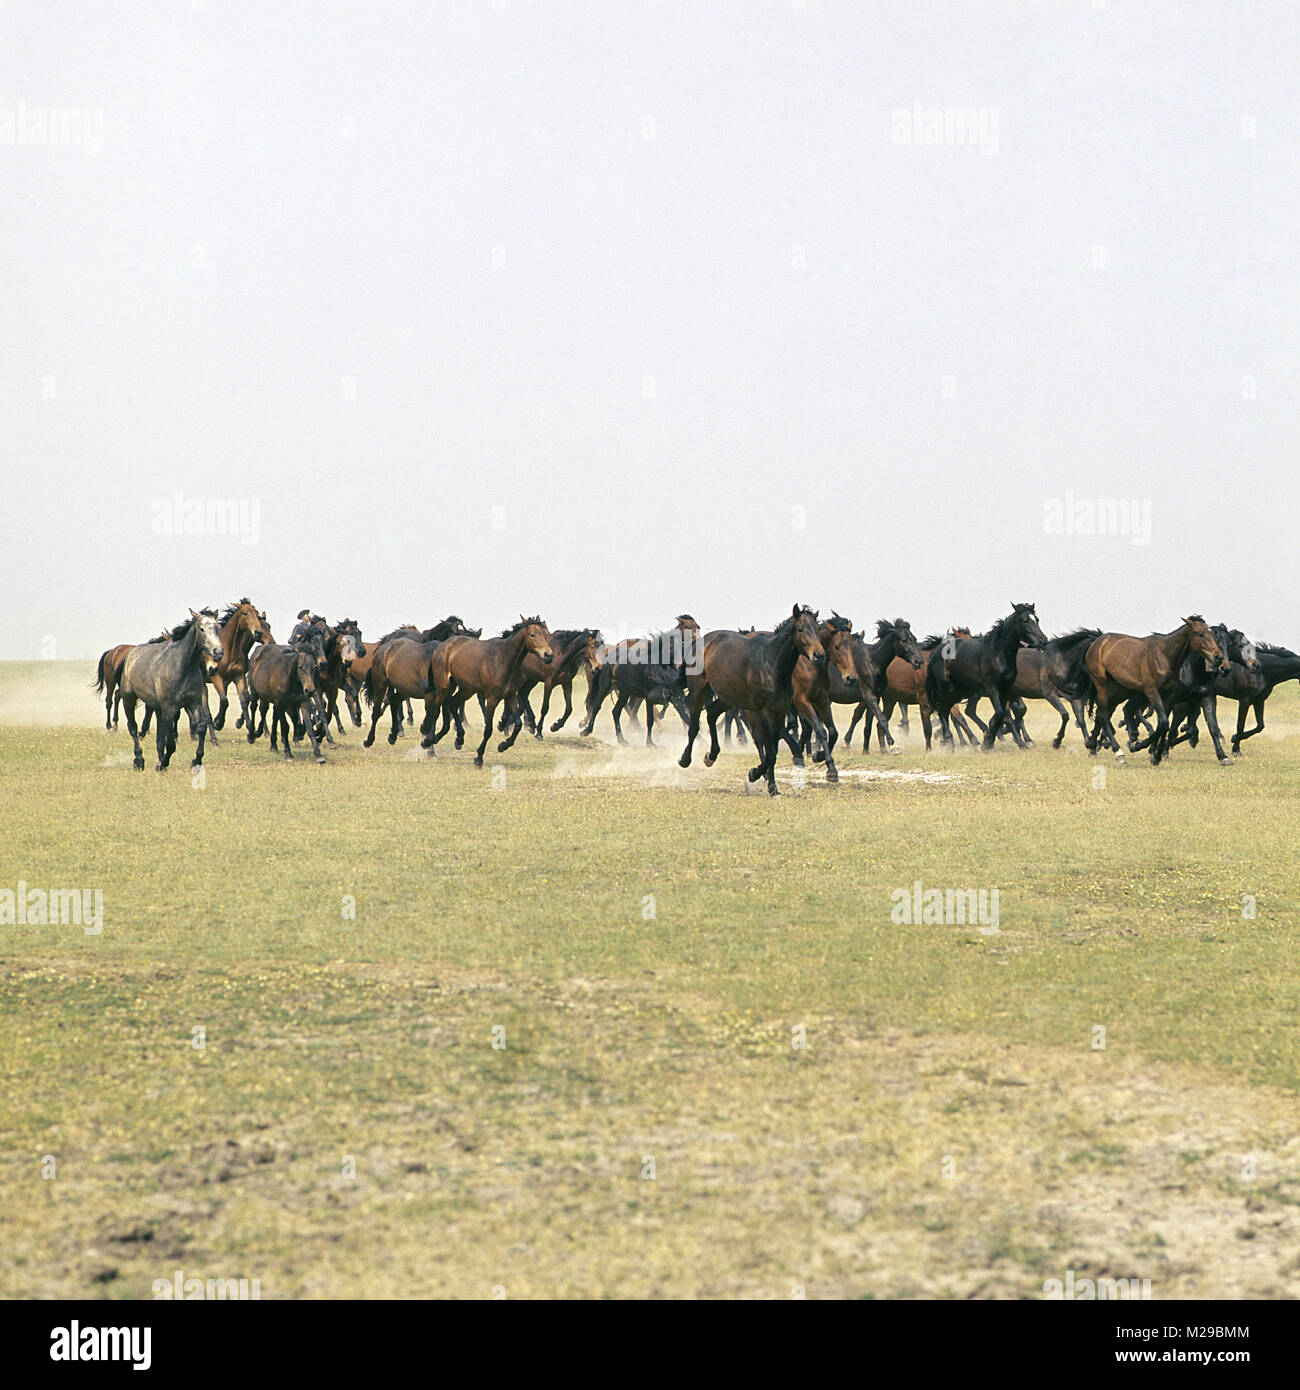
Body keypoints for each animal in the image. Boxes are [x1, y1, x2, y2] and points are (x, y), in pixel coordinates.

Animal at [106, 610, 225, 772]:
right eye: (202, 629)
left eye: (218, 627)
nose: (218, 652)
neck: (182, 667)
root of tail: (129, 655)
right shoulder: (169, 708)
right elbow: (171, 743)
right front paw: (163, 764)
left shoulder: (194, 703)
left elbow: (200, 728)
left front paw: (196, 761)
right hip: (129, 700)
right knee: (133, 727)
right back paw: (139, 760)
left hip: (156, 707)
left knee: (158, 736)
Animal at [423, 618, 555, 765]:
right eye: (532, 635)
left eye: (546, 634)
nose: (548, 655)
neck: (503, 660)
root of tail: (443, 646)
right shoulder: (492, 698)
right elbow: (488, 729)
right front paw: (479, 757)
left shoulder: (510, 696)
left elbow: (518, 724)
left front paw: (503, 745)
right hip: (444, 686)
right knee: (436, 711)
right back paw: (429, 742)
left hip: (465, 689)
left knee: (451, 704)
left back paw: (457, 739)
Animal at [678, 605, 826, 796]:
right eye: (800, 629)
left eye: (817, 629)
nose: (819, 656)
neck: (771, 666)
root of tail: (701, 643)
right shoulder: (763, 712)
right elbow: (769, 750)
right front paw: (757, 775)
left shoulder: (779, 712)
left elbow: (773, 750)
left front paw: (769, 784)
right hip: (699, 691)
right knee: (694, 726)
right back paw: (685, 759)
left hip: (729, 696)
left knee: (711, 713)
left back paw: (711, 756)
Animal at [926, 604, 1049, 751]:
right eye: (1025, 620)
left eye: (1037, 619)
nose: (1043, 641)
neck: (998, 654)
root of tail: (936, 653)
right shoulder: (992, 689)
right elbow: (1003, 714)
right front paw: (993, 739)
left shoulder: (1007, 690)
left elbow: (1015, 712)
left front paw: (999, 737)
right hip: (948, 690)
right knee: (946, 711)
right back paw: (953, 741)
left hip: (960, 693)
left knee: (960, 711)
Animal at [1084, 617, 1227, 764]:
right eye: (1200, 634)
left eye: (1212, 634)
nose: (1218, 658)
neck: (1164, 656)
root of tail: (1096, 644)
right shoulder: (1152, 692)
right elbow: (1164, 723)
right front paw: (1143, 747)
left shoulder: (1171, 696)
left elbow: (1165, 725)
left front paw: (1154, 755)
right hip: (1102, 685)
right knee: (1104, 715)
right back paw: (1118, 752)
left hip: (1120, 689)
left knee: (1111, 712)